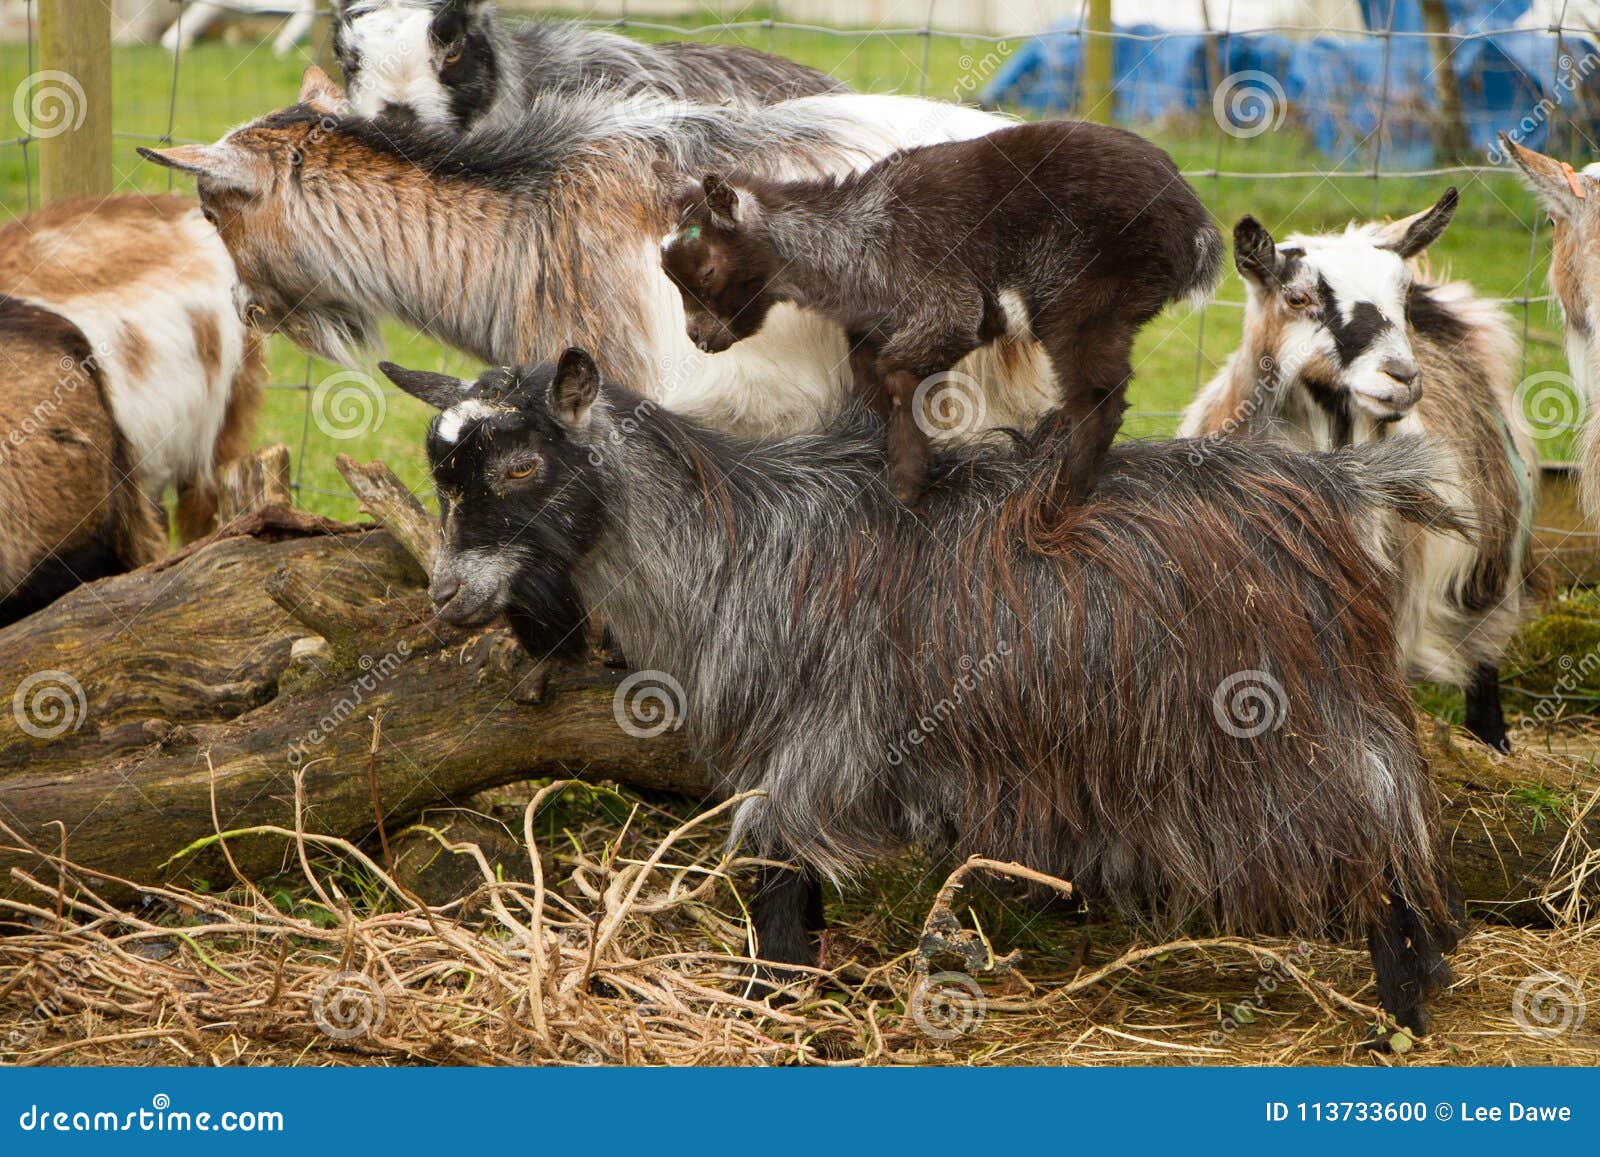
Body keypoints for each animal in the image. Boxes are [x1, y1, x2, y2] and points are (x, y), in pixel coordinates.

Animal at [379, 350, 1464, 1038]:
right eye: (442, 474)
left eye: (523, 463)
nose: (448, 595)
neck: (735, 545)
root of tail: (1333, 487)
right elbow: (790, 871)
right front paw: (792, 984)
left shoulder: (826, 731)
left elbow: (774, 860)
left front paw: (765, 999)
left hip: (1282, 718)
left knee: (1375, 821)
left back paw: (1402, 1008)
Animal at [659, 121, 1221, 504]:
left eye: (706, 271)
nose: (699, 339)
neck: (855, 241)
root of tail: (1195, 227)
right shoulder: (875, 328)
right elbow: (872, 383)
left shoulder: (946, 301)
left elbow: (897, 373)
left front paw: (908, 482)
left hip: (1083, 295)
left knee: (1099, 398)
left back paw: (1065, 493)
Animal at [1180, 190, 1535, 752]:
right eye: (1297, 298)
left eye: (1400, 299)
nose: (1402, 376)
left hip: (1491, 567)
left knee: (1484, 653)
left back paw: (1492, 740)